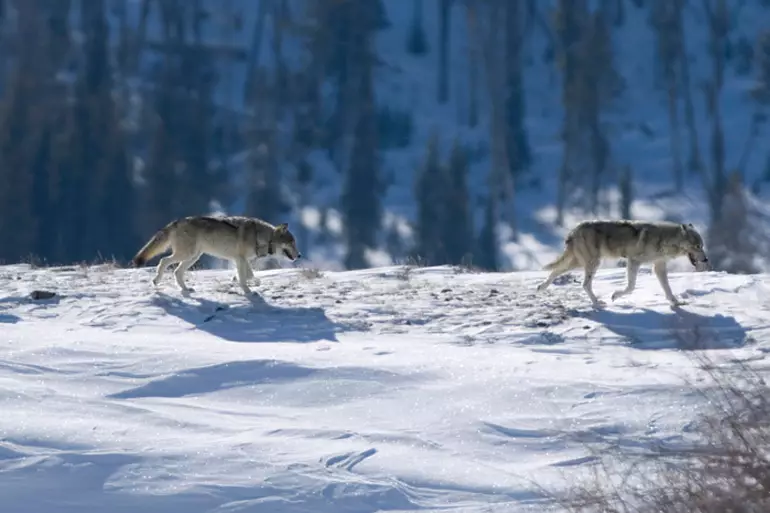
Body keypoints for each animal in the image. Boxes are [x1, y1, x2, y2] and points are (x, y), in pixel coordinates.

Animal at [132, 215, 300, 294]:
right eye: (292, 242)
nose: (299, 255)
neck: (262, 237)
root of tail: (176, 222)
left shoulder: (242, 260)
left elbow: (248, 274)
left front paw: (238, 280)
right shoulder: (240, 259)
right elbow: (246, 277)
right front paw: (248, 291)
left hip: (192, 257)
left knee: (176, 271)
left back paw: (186, 289)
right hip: (186, 255)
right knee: (163, 261)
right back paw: (156, 280)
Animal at [536, 218, 708, 306]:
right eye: (698, 246)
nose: (706, 259)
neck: (665, 241)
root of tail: (574, 230)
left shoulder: (658, 266)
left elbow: (667, 288)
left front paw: (675, 302)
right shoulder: (634, 262)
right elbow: (631, 287)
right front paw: (615, 296)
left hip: (579, 263)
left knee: (556, 271)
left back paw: (541, 287)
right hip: (592, 263)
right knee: (584, 284)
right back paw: (597, 302)